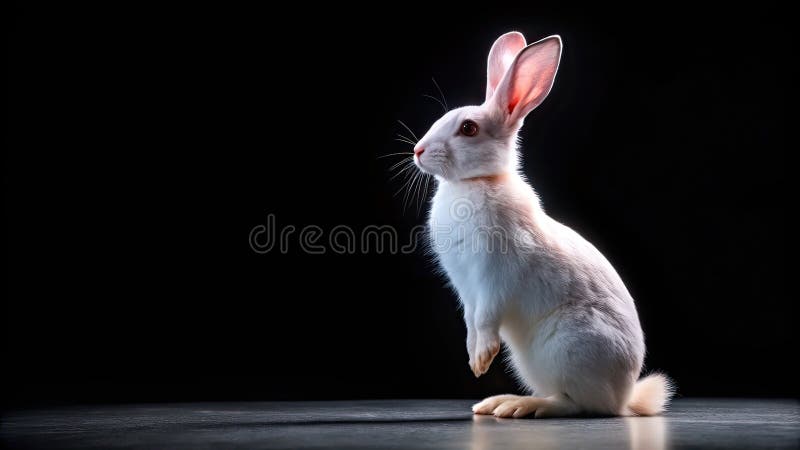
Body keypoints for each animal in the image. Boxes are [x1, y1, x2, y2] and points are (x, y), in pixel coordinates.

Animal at [411, 31, 673, 418]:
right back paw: (497, 403)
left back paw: (521, 406)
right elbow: (471, 321)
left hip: (566, 349)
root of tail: (625, 397)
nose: (417, 150)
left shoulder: (494, 278)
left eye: (468, 128)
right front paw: (474, 358)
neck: (477, 181)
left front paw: (482, 359)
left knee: (578, 404)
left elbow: (486, 318)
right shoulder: (466, 290)